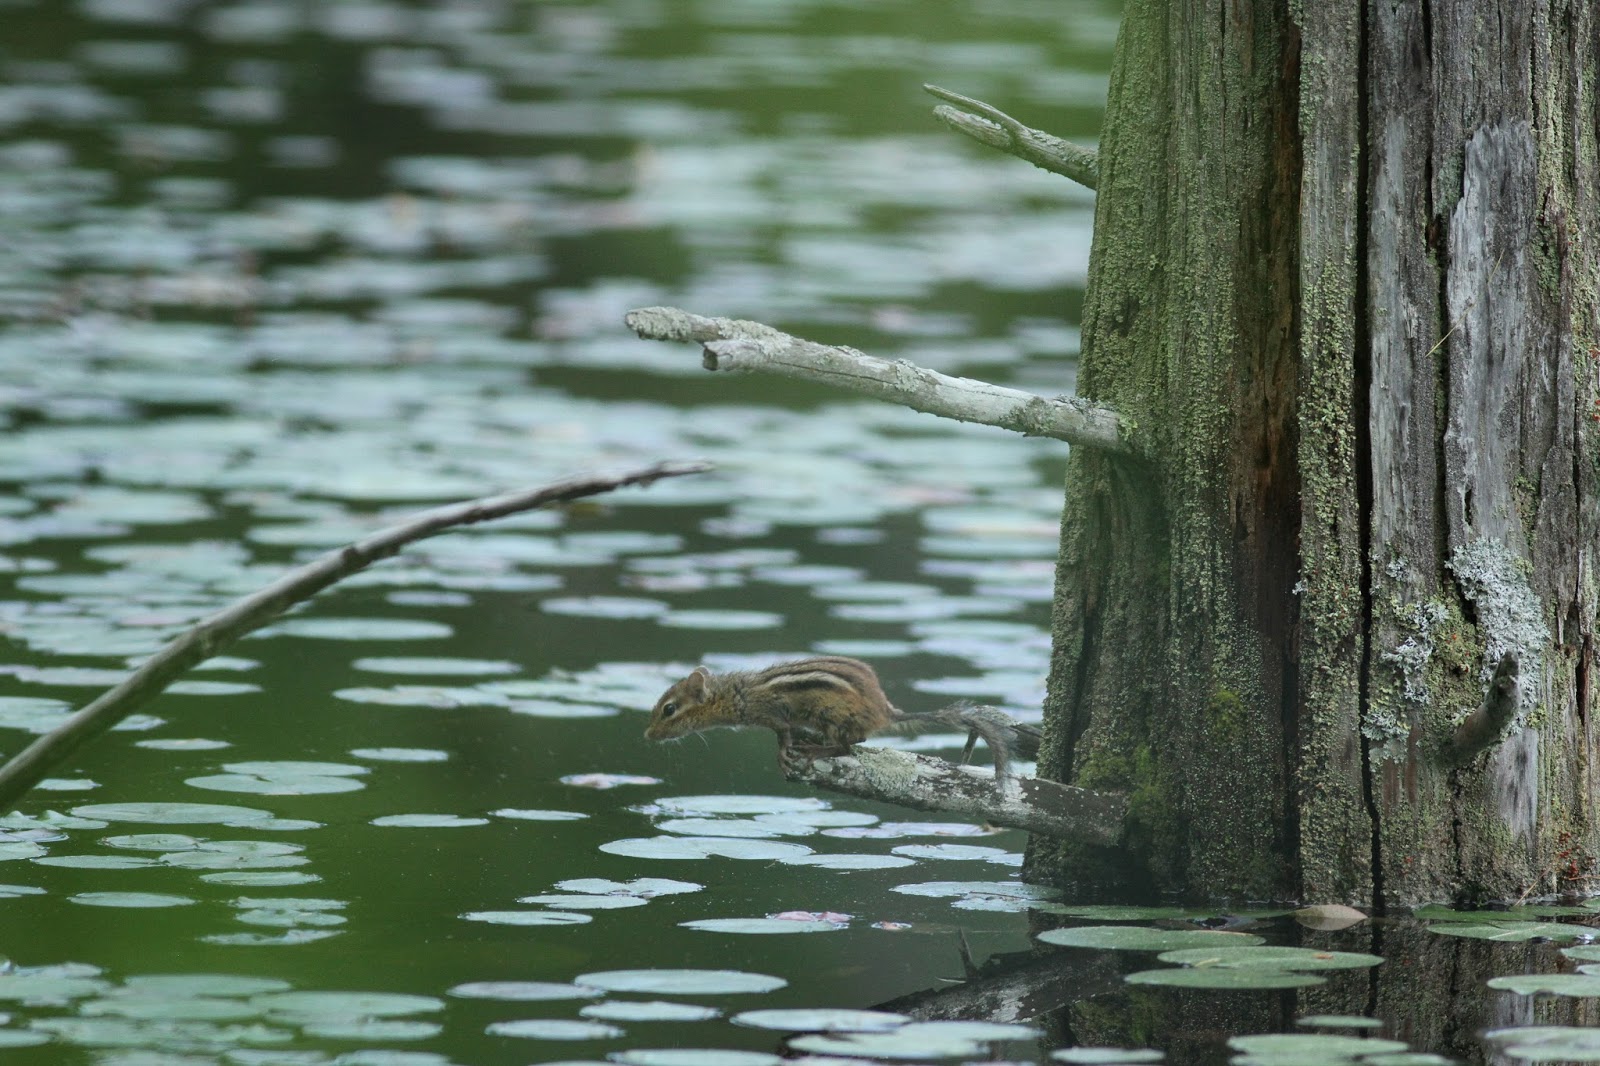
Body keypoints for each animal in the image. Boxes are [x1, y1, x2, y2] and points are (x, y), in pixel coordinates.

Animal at [644, 655, 1038, 778]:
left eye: (669, 709)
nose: (647, 736)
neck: (735, 694)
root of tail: (887, 710)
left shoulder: (773, 713)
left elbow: (783, 733)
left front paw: (785, 752)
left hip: (832, 716)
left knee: (851, 745)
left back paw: (819, 749)